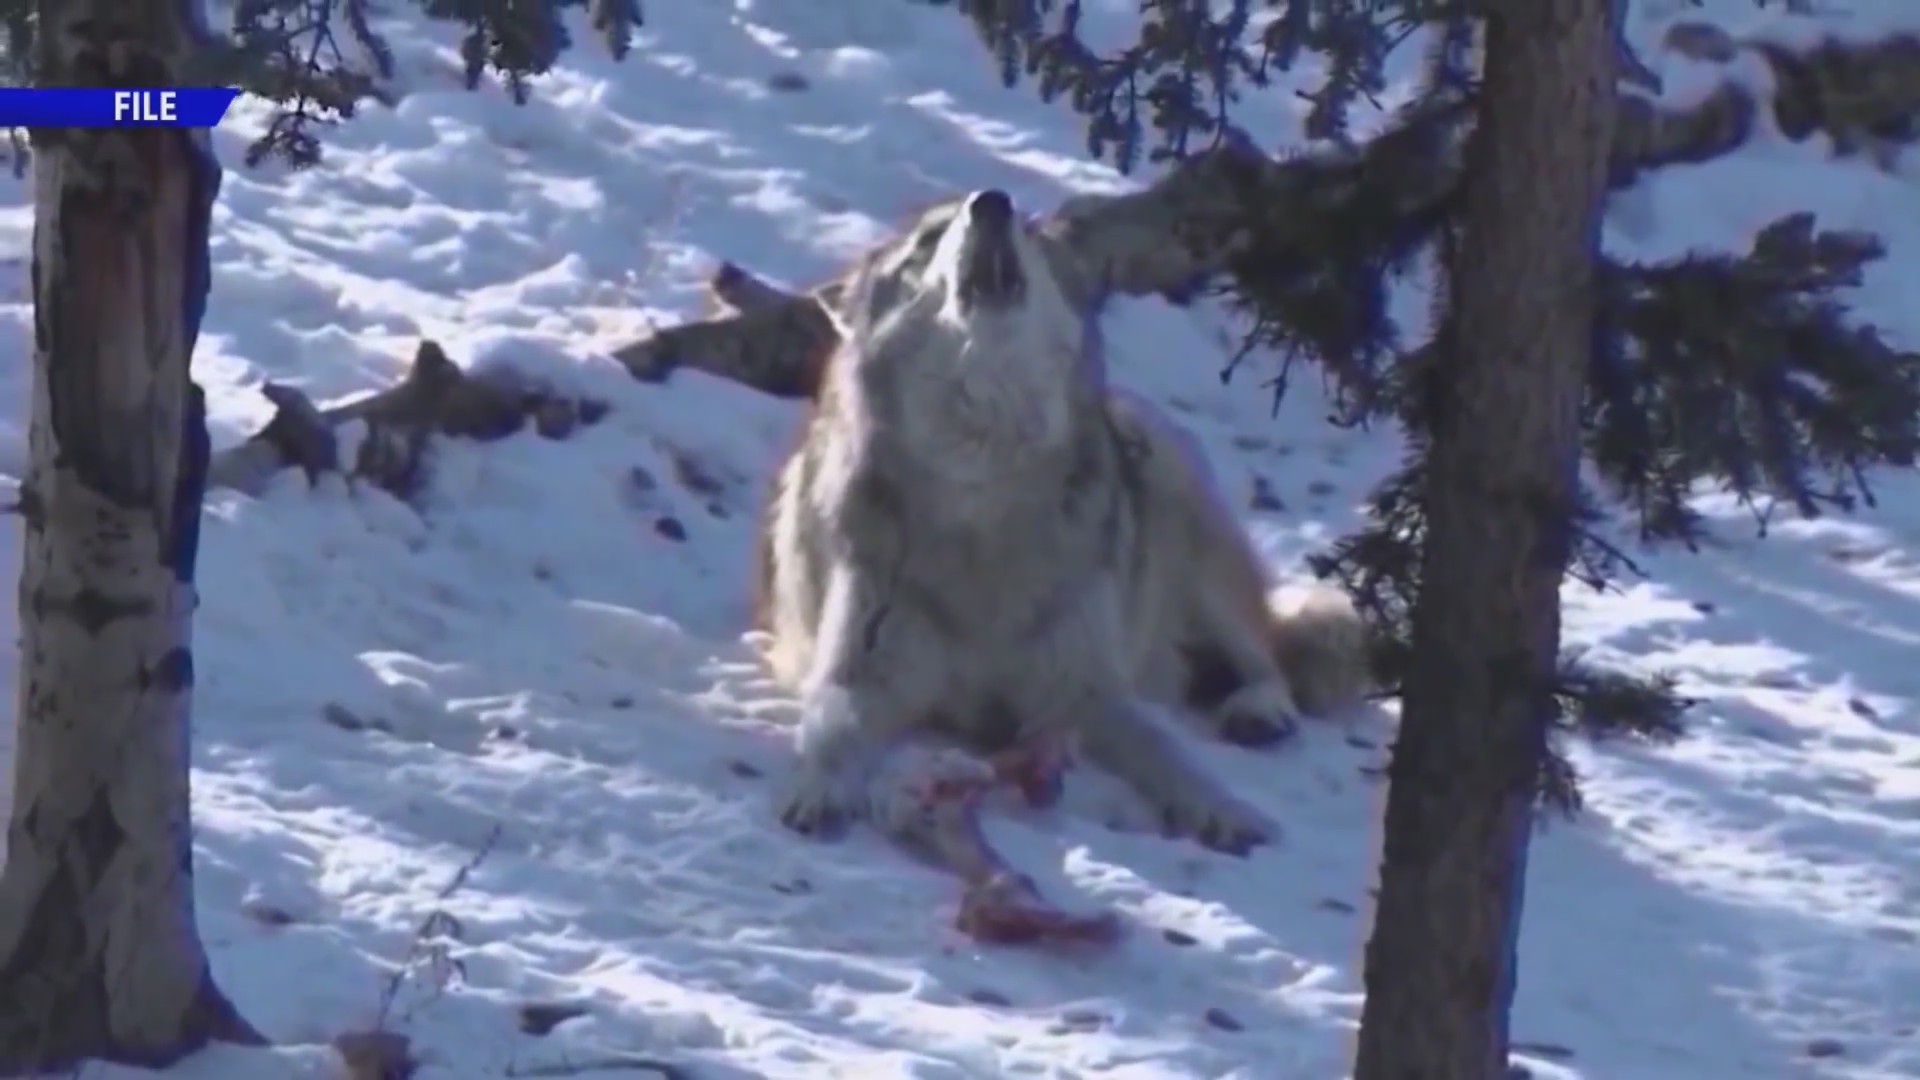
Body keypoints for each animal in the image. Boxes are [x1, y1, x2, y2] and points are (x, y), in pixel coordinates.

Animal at [753, 188, 1371, 854]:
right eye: (930, 238)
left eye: (1026, 228)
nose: (992, 203)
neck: (983, 494)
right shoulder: (858, 676)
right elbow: (830, 732)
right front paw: (817, 790)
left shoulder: (1086, 694)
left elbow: (1168, 753)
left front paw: (1221, 809)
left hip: (1195, 557)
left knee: (1265, 658)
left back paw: (1261, 712)